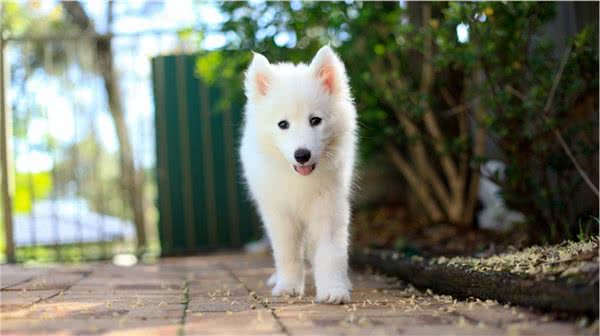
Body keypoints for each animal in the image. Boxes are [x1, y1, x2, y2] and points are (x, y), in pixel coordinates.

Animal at [240, 45, 356, 304]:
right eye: (283, 124)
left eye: (315, 120)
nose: (302, 155)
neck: (300, 180)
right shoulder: (280, 214)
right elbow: (287, 254)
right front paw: (288, 287)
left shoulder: (328, 208)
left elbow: (330, 252)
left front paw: (333, 290)